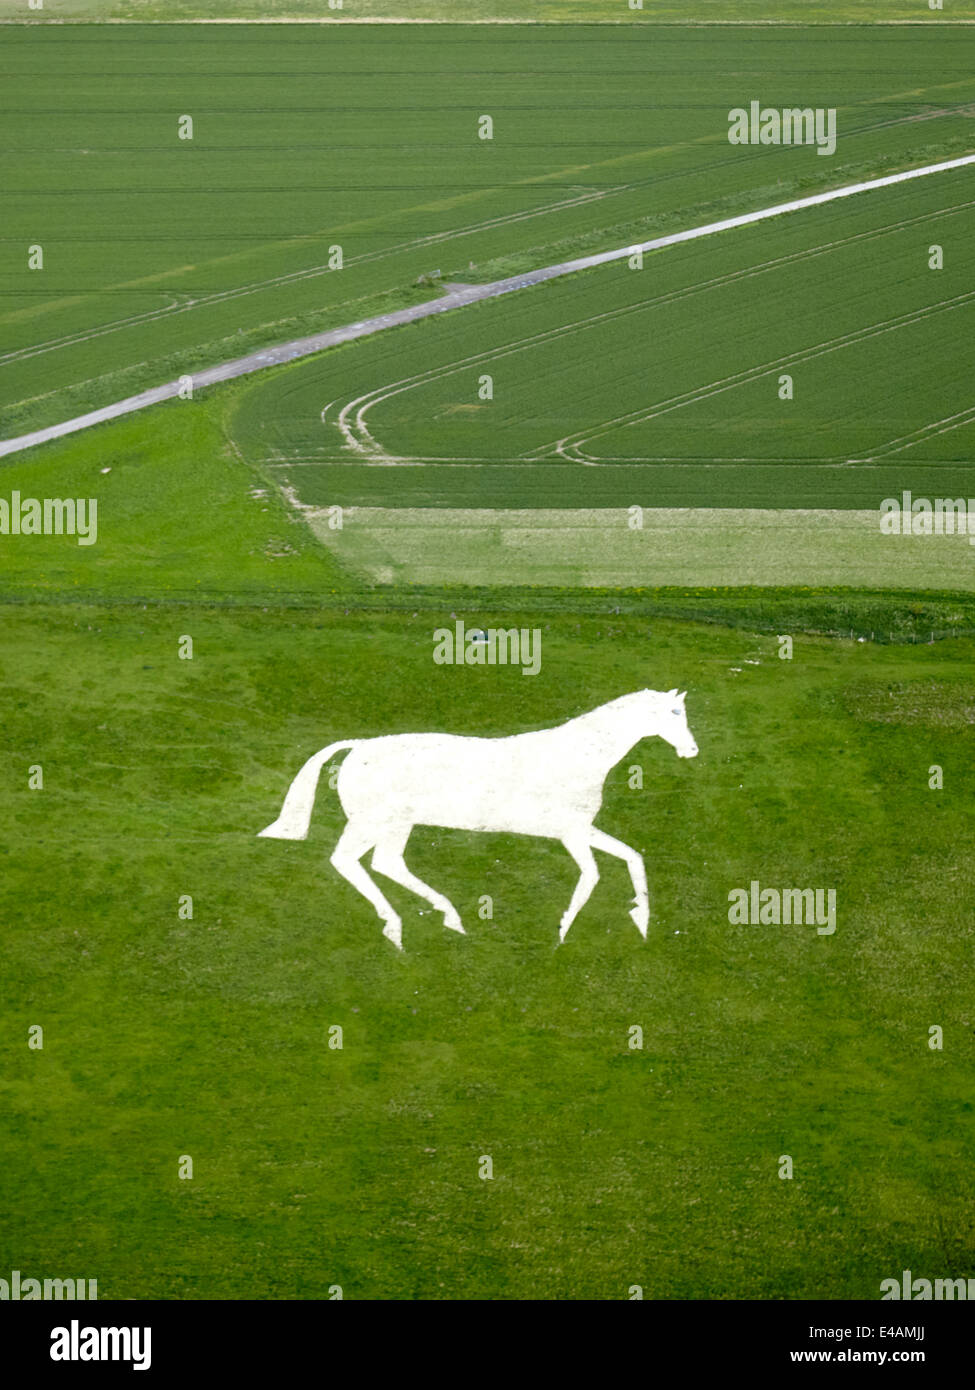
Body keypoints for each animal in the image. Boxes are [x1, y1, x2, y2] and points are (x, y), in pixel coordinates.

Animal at [258, 689, 698, 949]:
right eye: (675, 711)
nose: (691, 750)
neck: (579, 755)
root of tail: (359, 746)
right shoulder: (571, 833)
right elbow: (593, 875)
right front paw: (562, 933)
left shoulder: (580, 830)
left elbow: (632, 857)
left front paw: (641, 921)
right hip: (371, 823)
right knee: (348, 861)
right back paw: (399, 928)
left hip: (396, 825)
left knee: (384, 863)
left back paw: (445, 919)